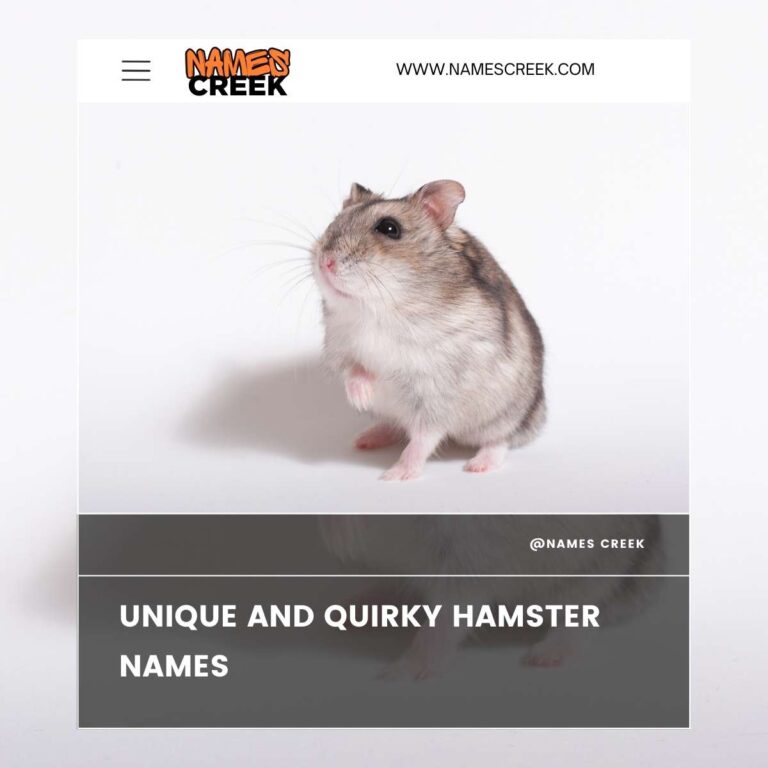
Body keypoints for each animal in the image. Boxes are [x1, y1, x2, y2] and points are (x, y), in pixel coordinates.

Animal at [312, 180, 545, 480]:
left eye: (389, 228)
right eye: (335, 220)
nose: (325, 261)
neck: (383, 308)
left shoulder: (436, 394)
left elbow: (424, 438)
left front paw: (394, 475)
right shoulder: (341, 348)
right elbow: (354, 370)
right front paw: (361, 398)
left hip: (504, 415)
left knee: (500, 440)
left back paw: (477, 466)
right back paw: (365, 439)